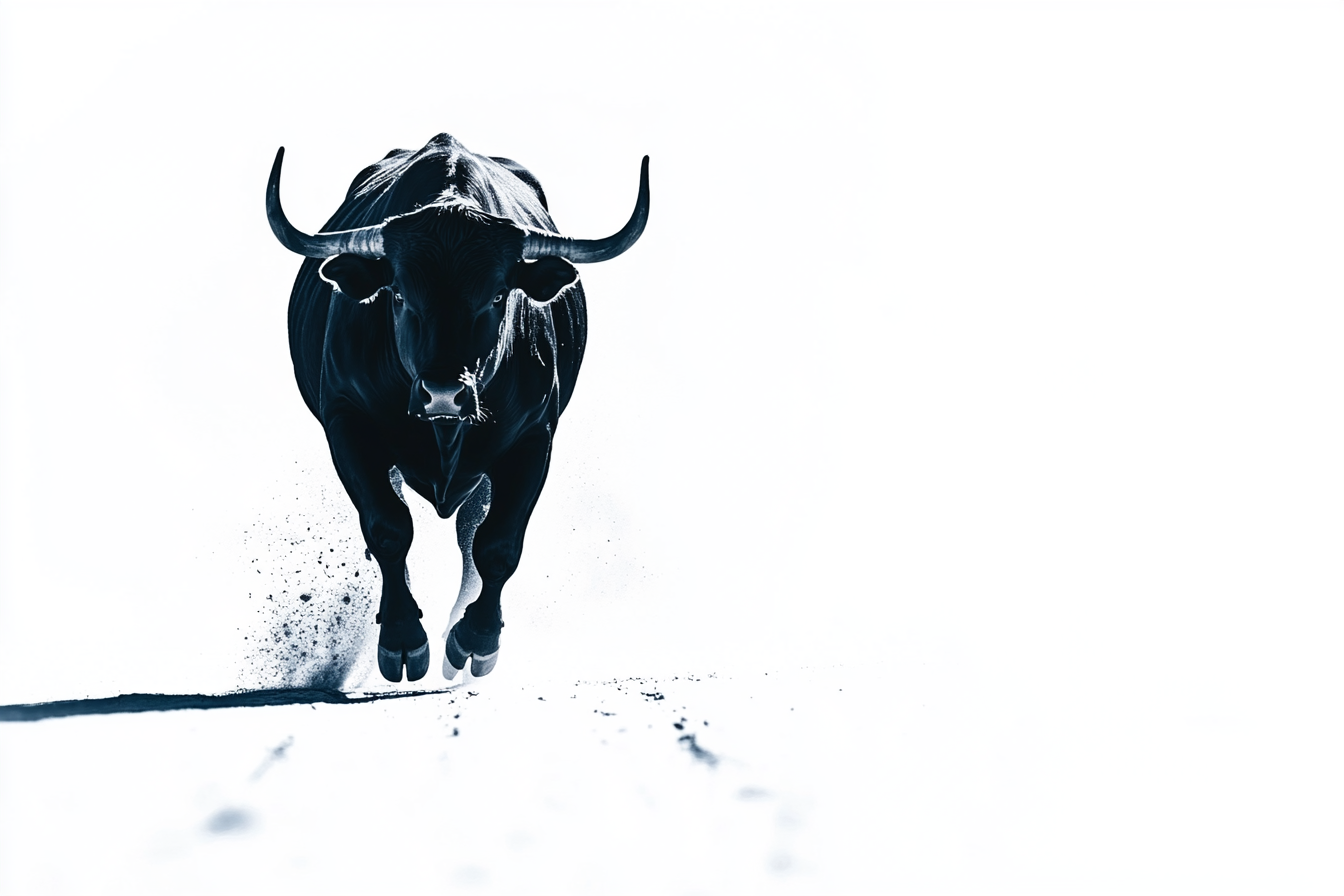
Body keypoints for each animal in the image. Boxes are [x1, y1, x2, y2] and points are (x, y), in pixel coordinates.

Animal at [265, 133, 649, 683]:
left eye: (497, 295)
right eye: (398, 294)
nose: (444, 393)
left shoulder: (534, 437)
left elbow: (497, 544)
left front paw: (475, 640)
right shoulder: (346, 423)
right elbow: (387, 528)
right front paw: (402, 639)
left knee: (471, 531)